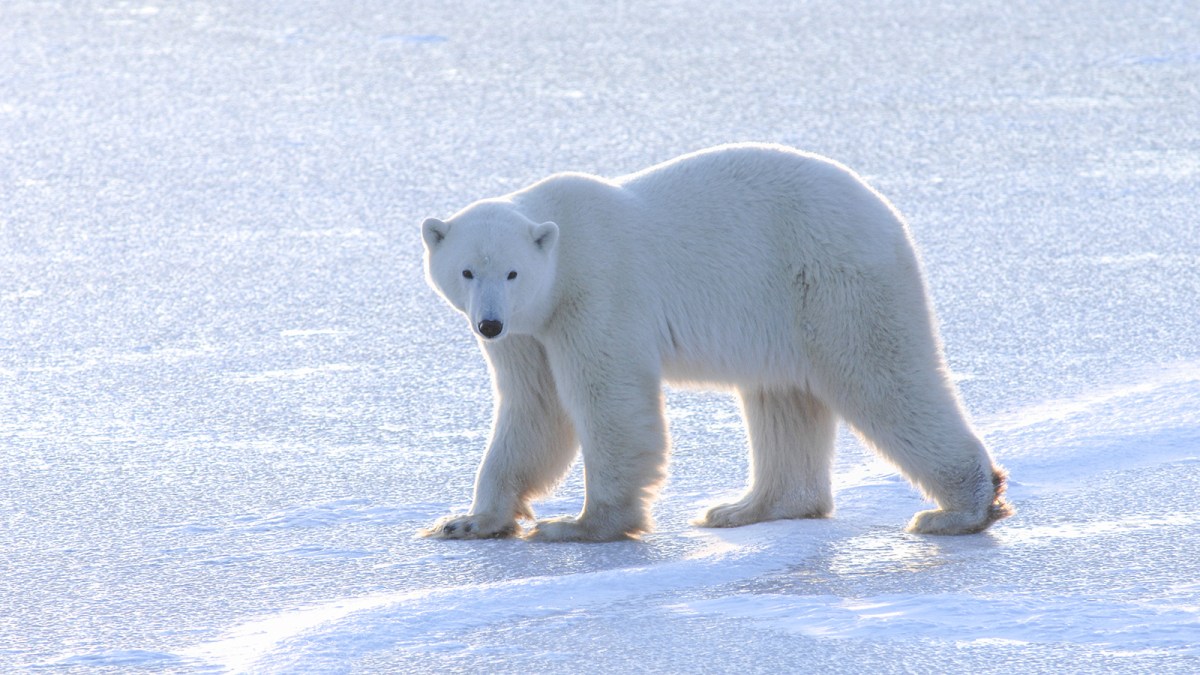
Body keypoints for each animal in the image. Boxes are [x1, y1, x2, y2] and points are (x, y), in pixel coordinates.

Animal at [420, 142, 1013, 542]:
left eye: (513, 272)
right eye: (467, 271)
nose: (488, 324)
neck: (561, 247)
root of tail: (890, 216)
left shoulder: (595, 293)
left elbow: (608, 401)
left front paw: (581, 524)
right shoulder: (530, 331)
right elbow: (535, 409)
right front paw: (467, 521)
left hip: (831, 280)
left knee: (882, 378)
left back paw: (959, 509)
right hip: (783, 312)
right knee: (783, 400)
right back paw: (743, 508)